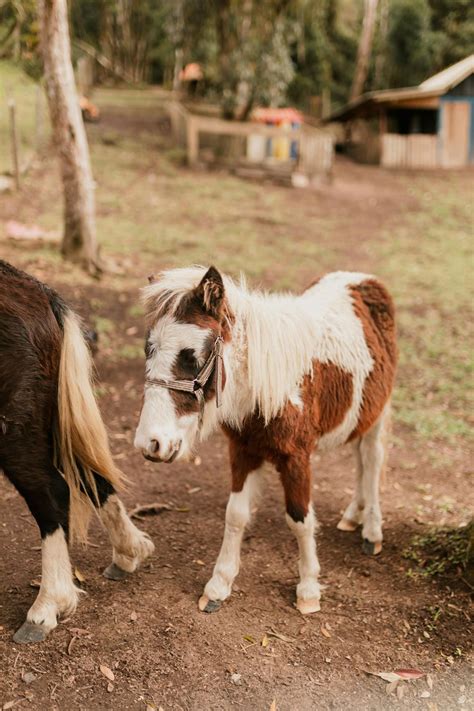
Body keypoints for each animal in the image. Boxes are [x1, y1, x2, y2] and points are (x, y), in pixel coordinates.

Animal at [0, 261, 154, 643]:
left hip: (14, 429)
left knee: (51, 492)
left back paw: (47, 606)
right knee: (90, 476)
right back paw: (129, 551)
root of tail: (38, 293)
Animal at [134, 265, 397, 616]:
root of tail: (361, 278)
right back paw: (353, 515)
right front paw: (218, 586)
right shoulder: (243, 451)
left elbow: (300, 519)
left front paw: (308, 589)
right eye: (148, 349)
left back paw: (372, 530)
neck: (269, 388)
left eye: (191, 357)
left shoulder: (297, 457)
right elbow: (235, 515)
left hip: (379, 414)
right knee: (359, 460)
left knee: (373, 459)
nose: (150, 443)